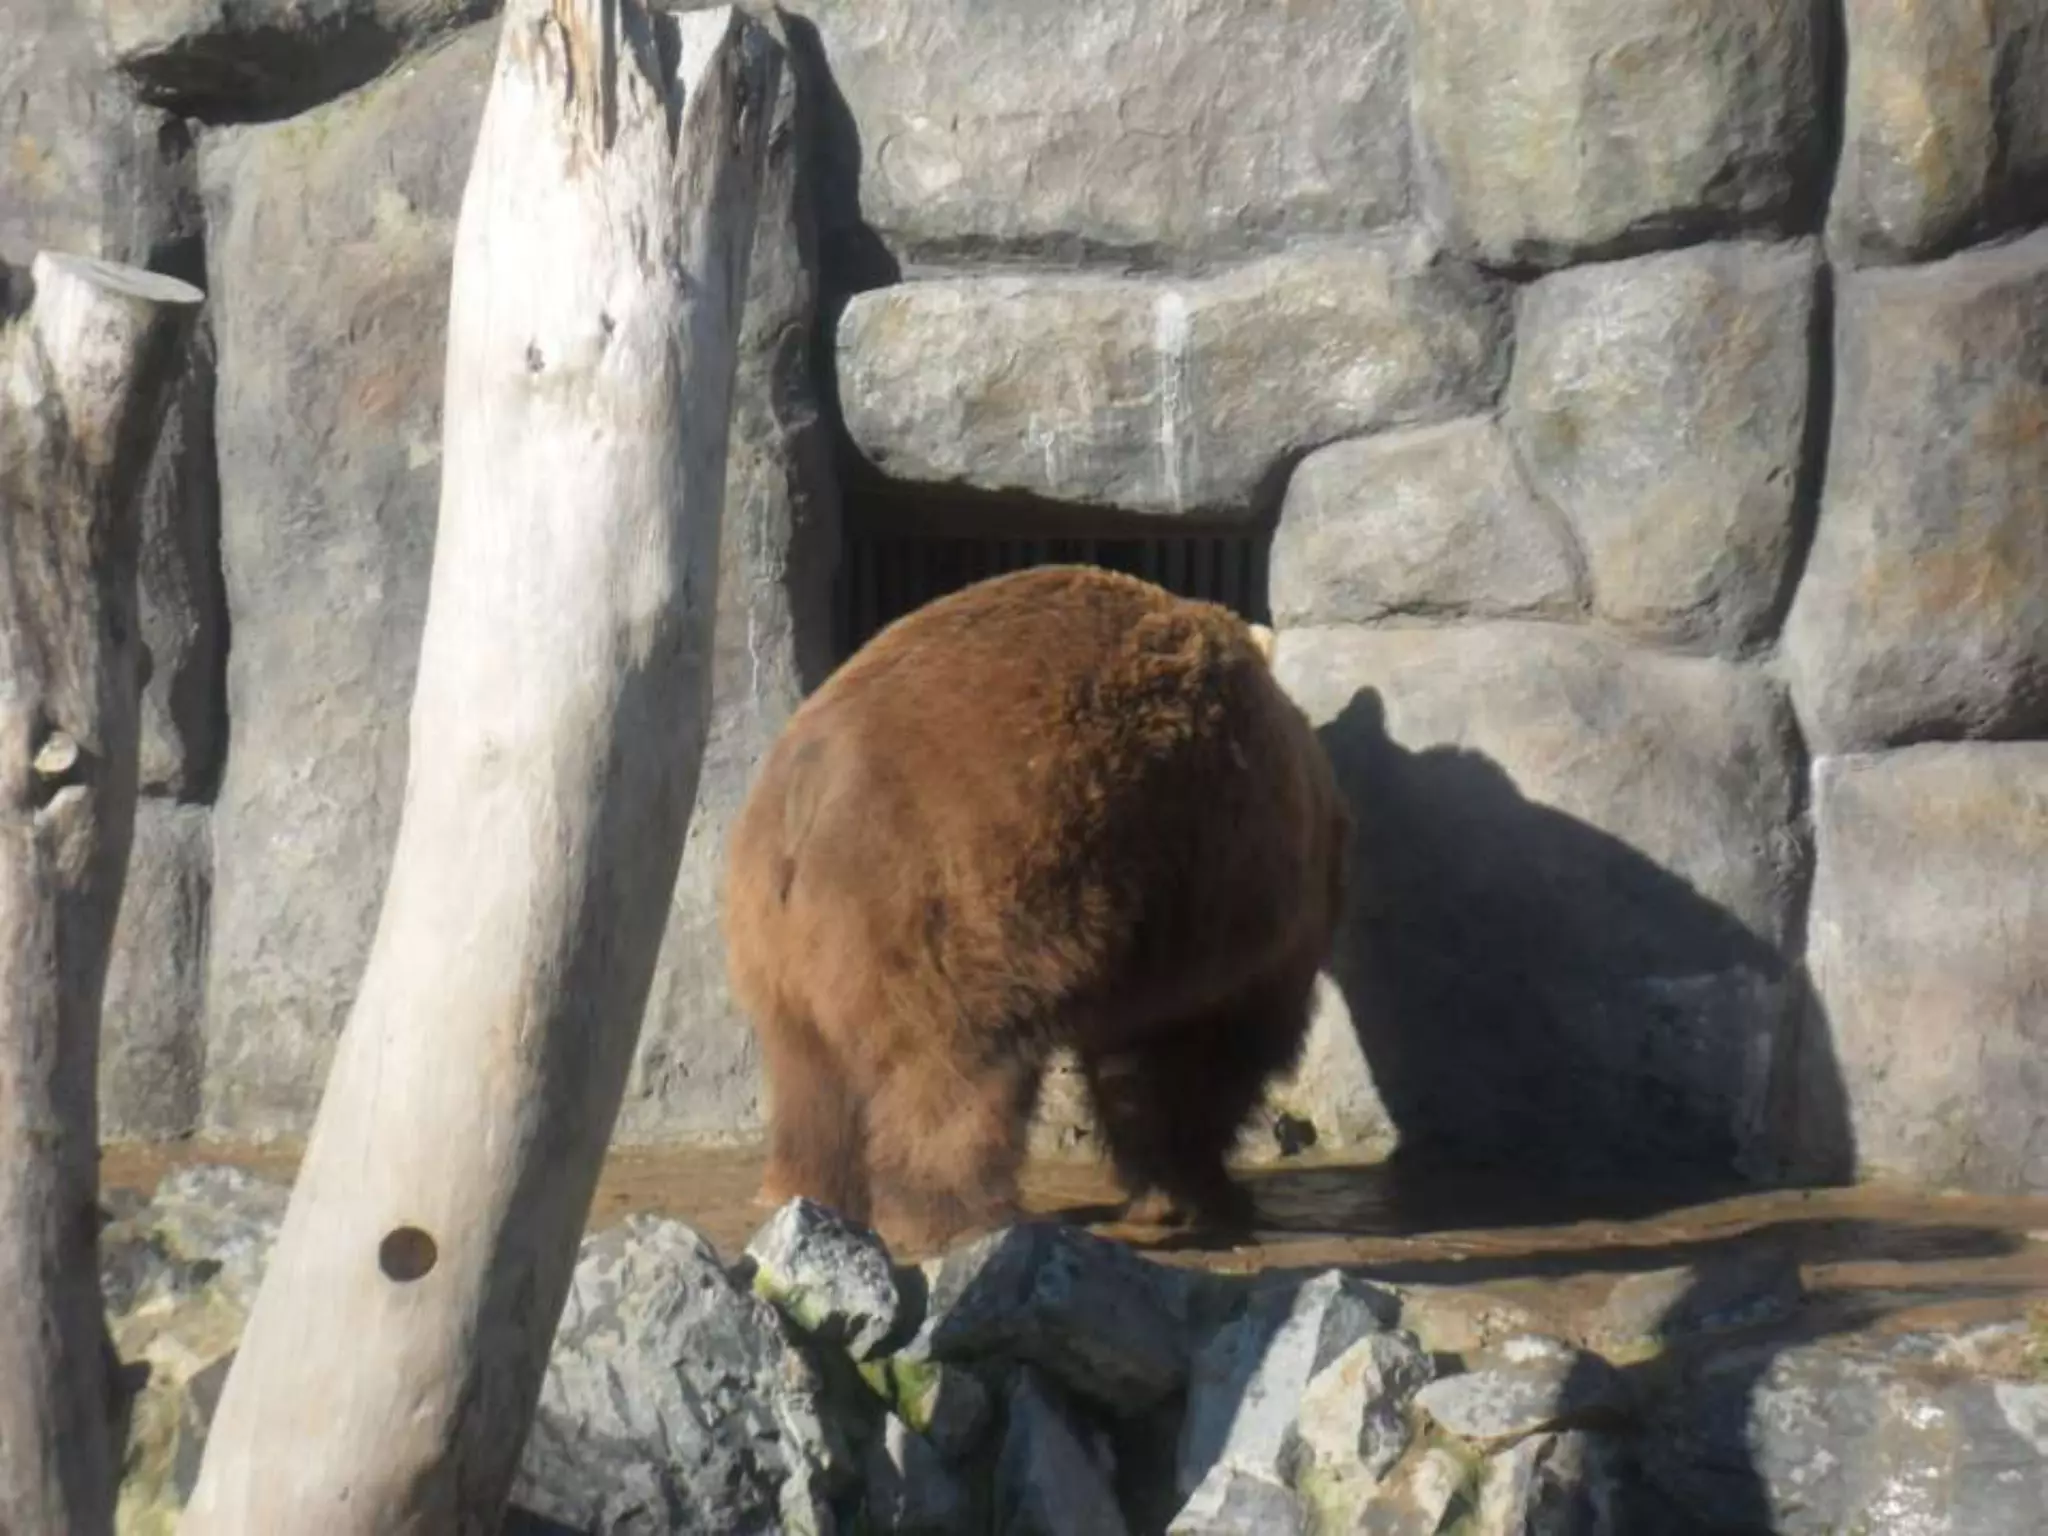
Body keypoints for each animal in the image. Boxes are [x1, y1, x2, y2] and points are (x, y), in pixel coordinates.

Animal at [720, 564, 1351, 1255]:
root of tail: (807, 787)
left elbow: (1135, 1062)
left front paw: (1169, 1194)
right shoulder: (1221, 881)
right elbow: (1194, 1054)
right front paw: (1204, 1193)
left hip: (774, 930)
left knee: (809, 1068)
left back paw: (808, 1191)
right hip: (949, 882)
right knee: (954, 1064)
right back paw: (967, 1217)